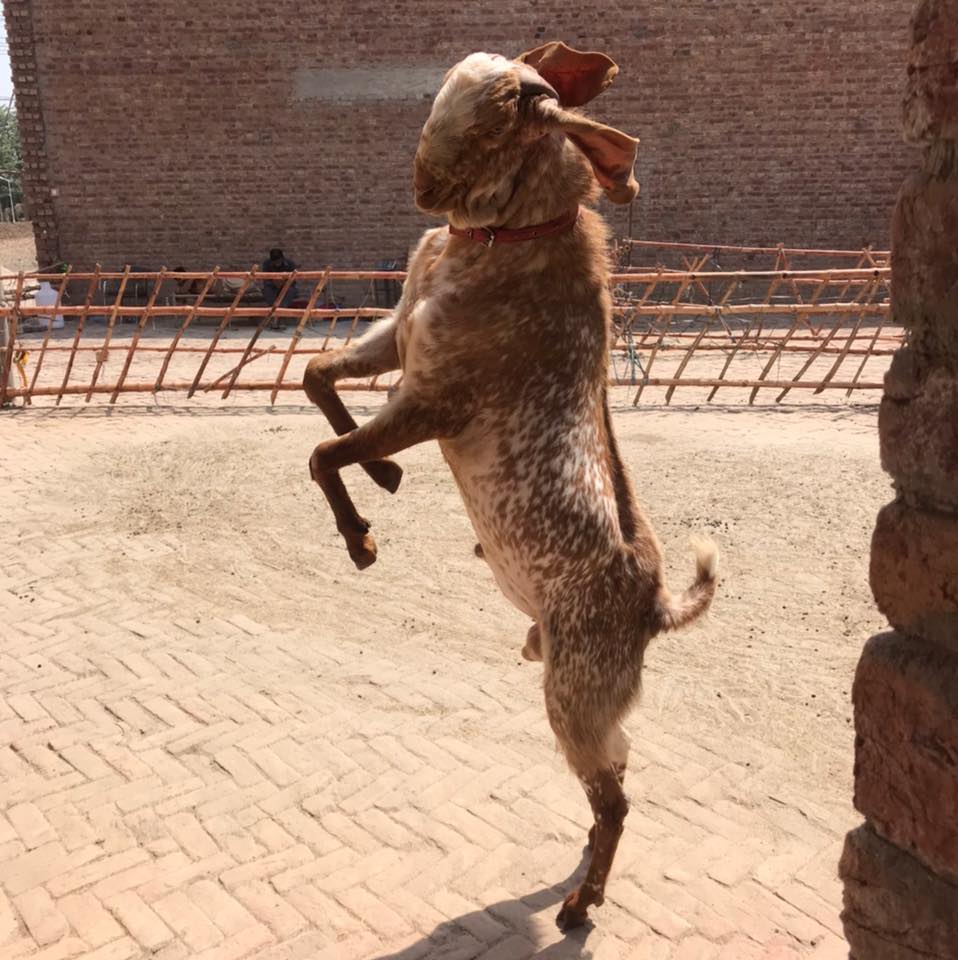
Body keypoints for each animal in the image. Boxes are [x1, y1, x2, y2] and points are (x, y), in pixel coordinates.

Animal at [303, 42, 719, 930]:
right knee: (617, 779)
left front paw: (362, 538)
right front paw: (385, 476)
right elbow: (317, 376)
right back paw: (577, 879)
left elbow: (324, 453)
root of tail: (655, 609)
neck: (504, 233)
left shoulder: (441, 398)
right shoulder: (400, 341)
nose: (422, 186)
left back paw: (580, 904)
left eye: (501, 115)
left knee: (615, 798)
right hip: (587, 693)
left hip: (575, 693)